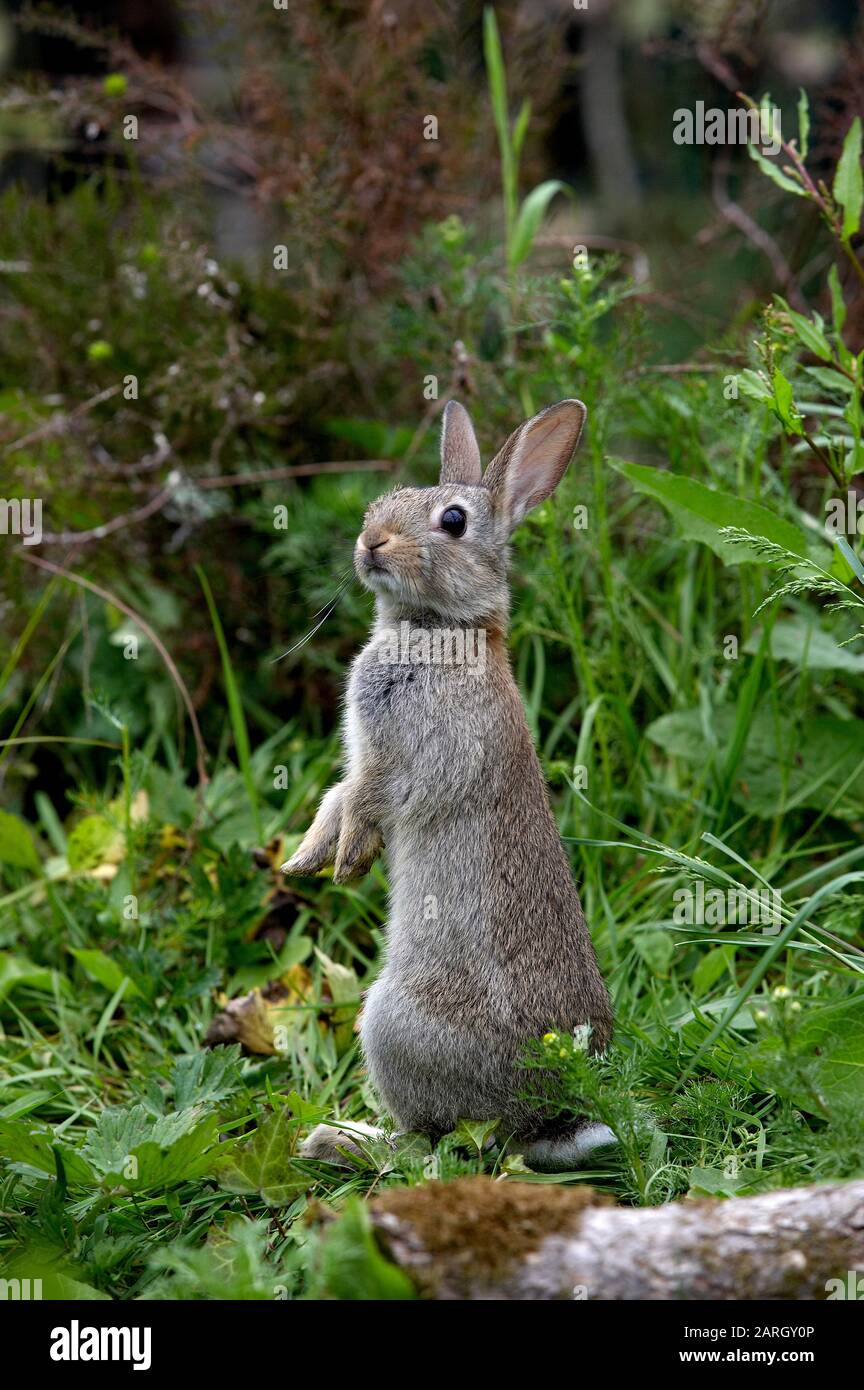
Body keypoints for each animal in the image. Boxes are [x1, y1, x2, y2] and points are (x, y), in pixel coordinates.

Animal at [283, 399, 614, 1169]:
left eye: (454, 521)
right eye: (383, 502)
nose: (370, 542)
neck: (441, 627)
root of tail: (545, 1113)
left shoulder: (410, 755)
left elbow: (372, 795)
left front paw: (347, 860)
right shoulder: (359, 759)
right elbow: (337, 796)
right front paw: (307, 859)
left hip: (390, 1023)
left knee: (430, 1147)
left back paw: (339, 1138)